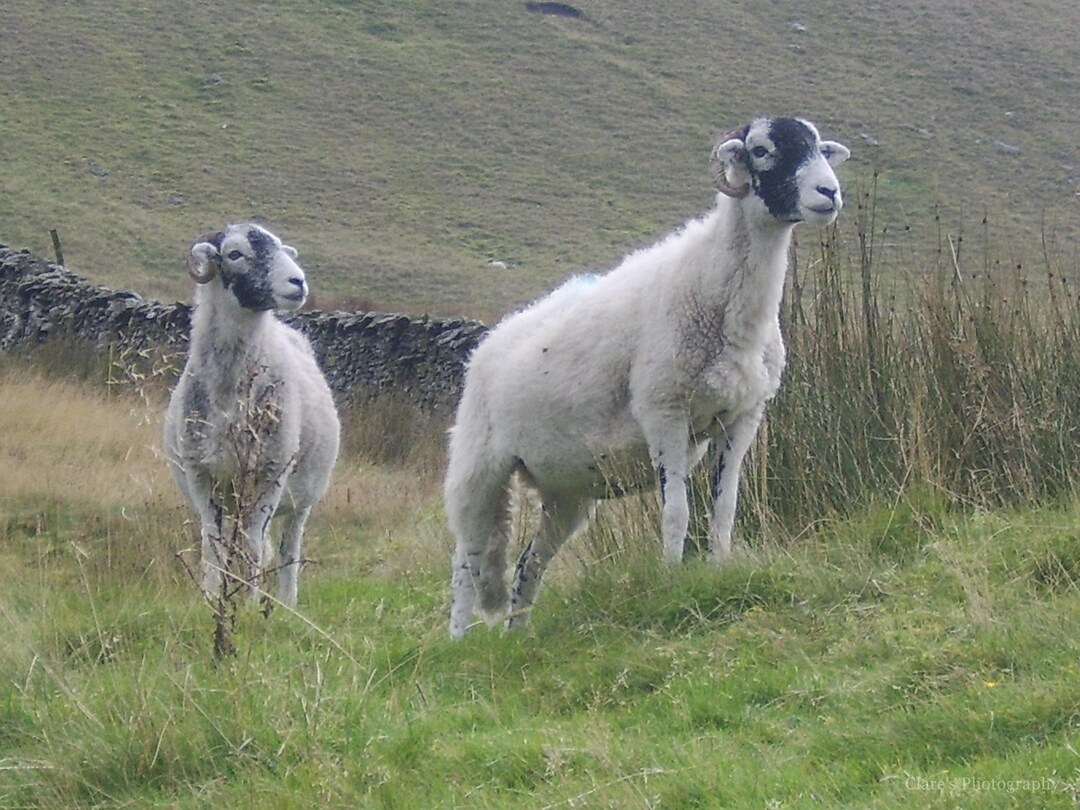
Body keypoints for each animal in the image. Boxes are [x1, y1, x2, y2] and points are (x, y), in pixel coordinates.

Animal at [164, 223, 340, 607]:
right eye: (235, 254)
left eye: (280, 247)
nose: (298, 281)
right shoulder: (200, 475)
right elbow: (211, 544)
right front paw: (212, 597)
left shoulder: (270, 473)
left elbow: (254, 546)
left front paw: (248, 602)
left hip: (301, 498)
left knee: (288, 549)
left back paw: (287, 602)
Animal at [445, 116, 850, 638]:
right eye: (761, 150)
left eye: (819, 147)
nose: (829, 192)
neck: (719, 293)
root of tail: (490, 341)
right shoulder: (664, 411)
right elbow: (676, 511)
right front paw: (672, 579)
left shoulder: (742, 416)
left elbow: (724, 508)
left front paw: (719, 569)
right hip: (478, 465)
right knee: (466, 561)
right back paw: (459, 640)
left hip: (567, 490)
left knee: (528, 564)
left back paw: (517, 636)